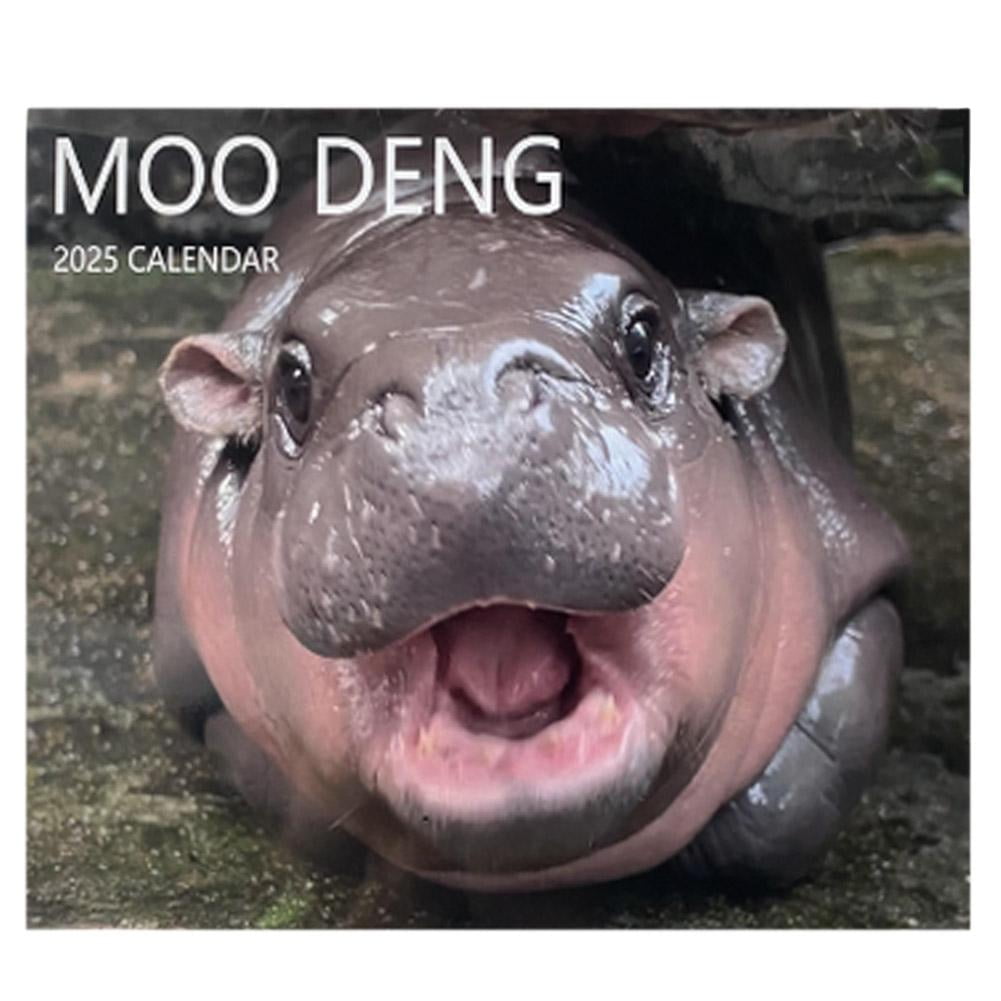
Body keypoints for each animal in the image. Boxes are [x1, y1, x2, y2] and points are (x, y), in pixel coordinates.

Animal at [153, 116, 908, 893]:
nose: (464, 417)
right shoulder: (192, 676)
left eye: (643, 339)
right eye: (293, 383)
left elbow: (786, 800)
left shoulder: (860, 569)